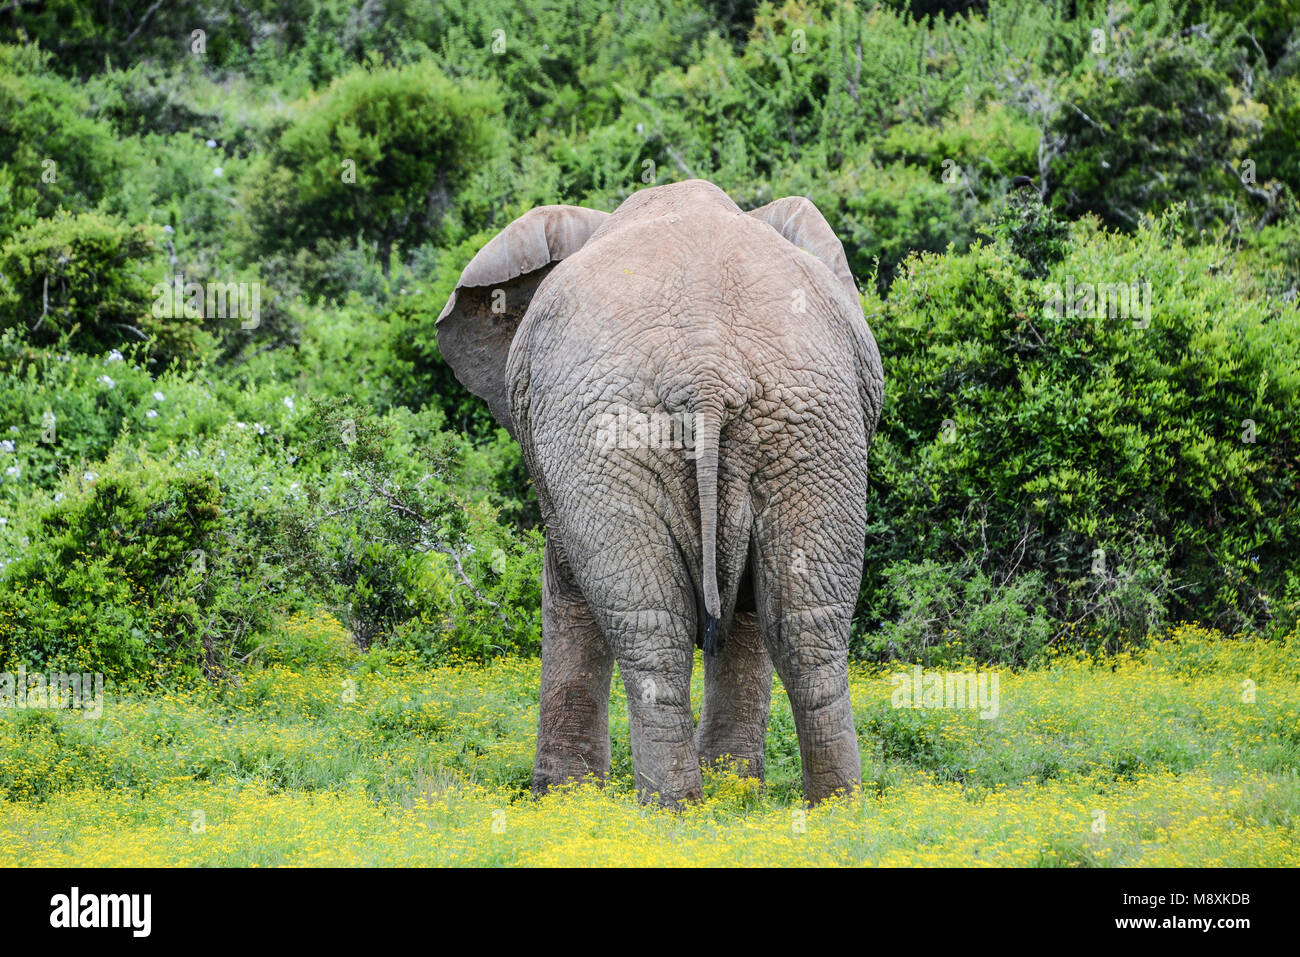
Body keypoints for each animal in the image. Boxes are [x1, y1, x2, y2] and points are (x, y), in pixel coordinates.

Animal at [436, 180, 883, 805]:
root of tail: (708, 371)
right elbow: (750, 608)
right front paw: (734, 791)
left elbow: (566, 585)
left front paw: (561, 802)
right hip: (813, 429)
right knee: (807, 625)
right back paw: (831, 810)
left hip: (613, 431)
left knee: (651, 628)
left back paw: (670, 813)